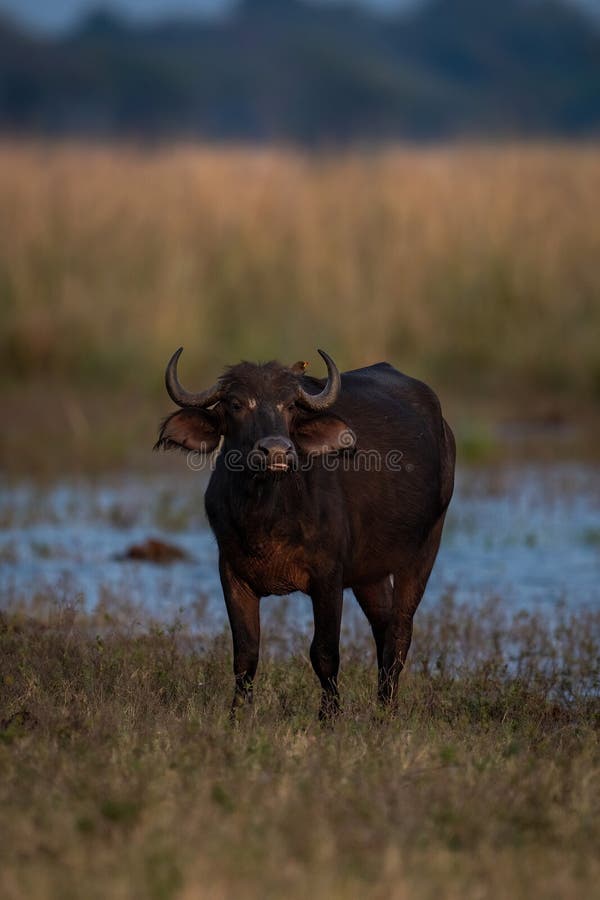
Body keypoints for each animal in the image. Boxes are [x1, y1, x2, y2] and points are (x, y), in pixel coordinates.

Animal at [156, 348, 455, 718]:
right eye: (236, 404)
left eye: (289, 405)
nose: (276, 451)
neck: (267, 516)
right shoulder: (232, 574)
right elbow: (245, 654)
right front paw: (236, 715)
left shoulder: (328, 578)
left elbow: (324, 653)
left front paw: (329, 716)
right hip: (369, 574)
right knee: (383, 626)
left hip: (425, 548)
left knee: (400, 631)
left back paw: (385, 711)